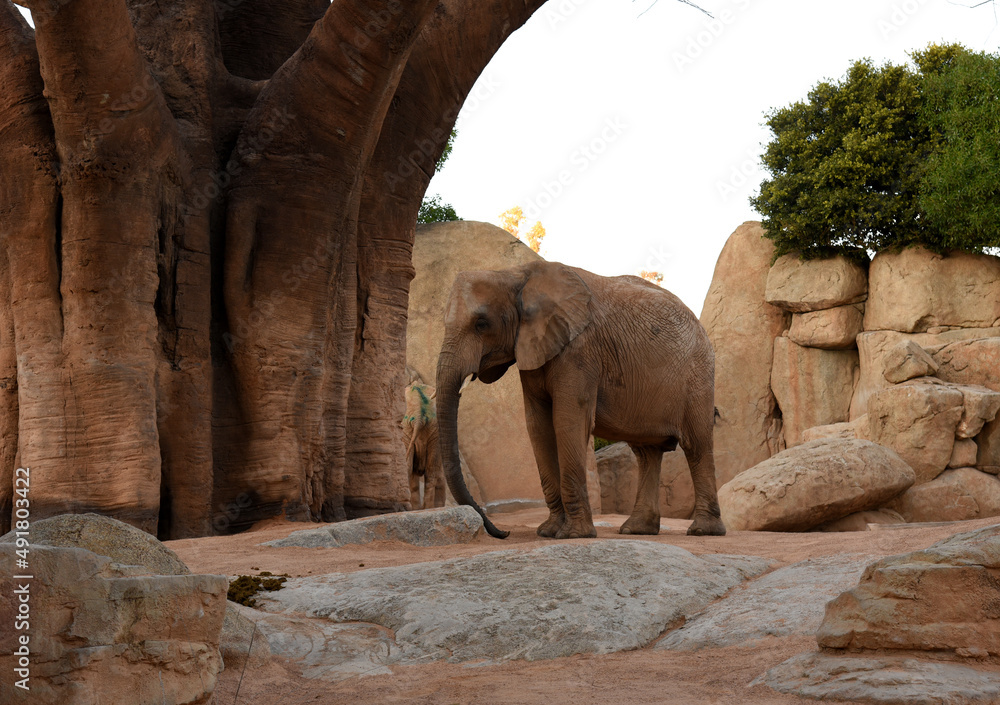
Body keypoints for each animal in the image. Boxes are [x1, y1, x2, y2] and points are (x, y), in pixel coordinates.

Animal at [435, 260, 726, 540]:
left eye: (481, 324)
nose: (503, 532)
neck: (514, 274)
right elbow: (538, 427)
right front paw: (548, 532)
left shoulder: (580, 350)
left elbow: (567, 421)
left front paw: (573, 535)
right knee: (647, 453)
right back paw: (637, 529)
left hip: (697, 377)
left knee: (696, 445)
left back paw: (703, 531)